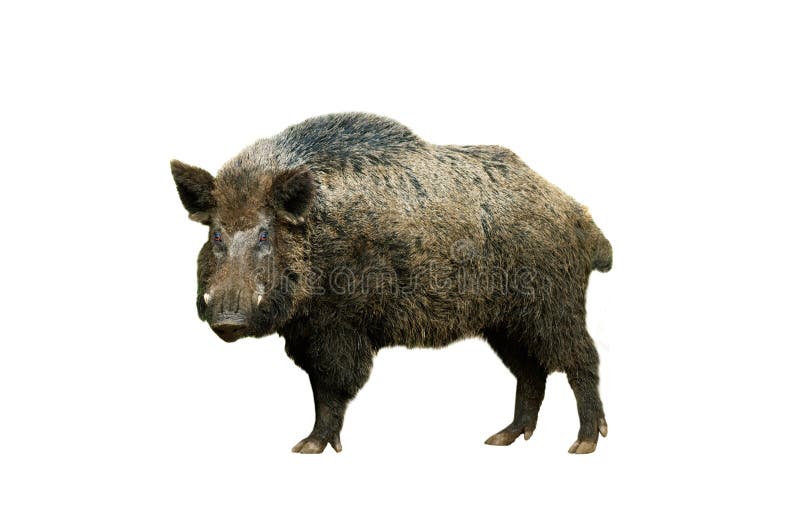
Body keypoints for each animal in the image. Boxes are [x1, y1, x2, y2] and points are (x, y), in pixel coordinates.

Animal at [171, 112, 612, 454]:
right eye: (216, 234)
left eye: (264, 234)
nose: (227, 319)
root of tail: (582, 218)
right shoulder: (306, 330)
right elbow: (317, 385)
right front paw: (307, 445)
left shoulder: (341, 325)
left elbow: (332, 384)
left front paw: (308, 447)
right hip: (505, 324)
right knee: (530, 371)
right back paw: (501, 439)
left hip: (554, 305)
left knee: (582, 359)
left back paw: (582, 444)